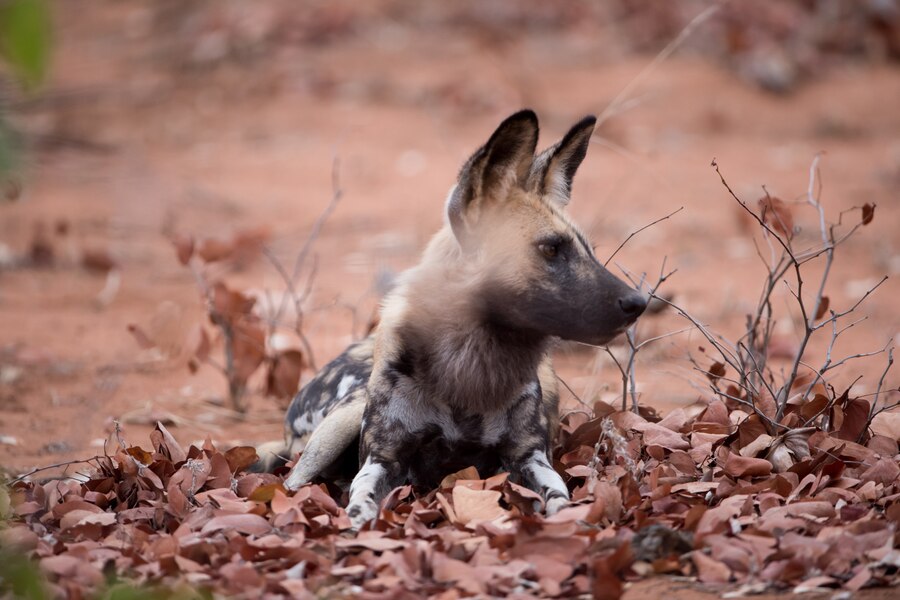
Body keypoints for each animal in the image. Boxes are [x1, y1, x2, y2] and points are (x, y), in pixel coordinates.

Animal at [268, 110, 648, 528]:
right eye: (551, 248)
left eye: (588, 250)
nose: (639, 301)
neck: (466, 368)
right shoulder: (383, 460)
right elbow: (362, 497)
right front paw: (358, 522)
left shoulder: (527, 458)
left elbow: (558, 497)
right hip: (338, 425)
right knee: (292, 483)